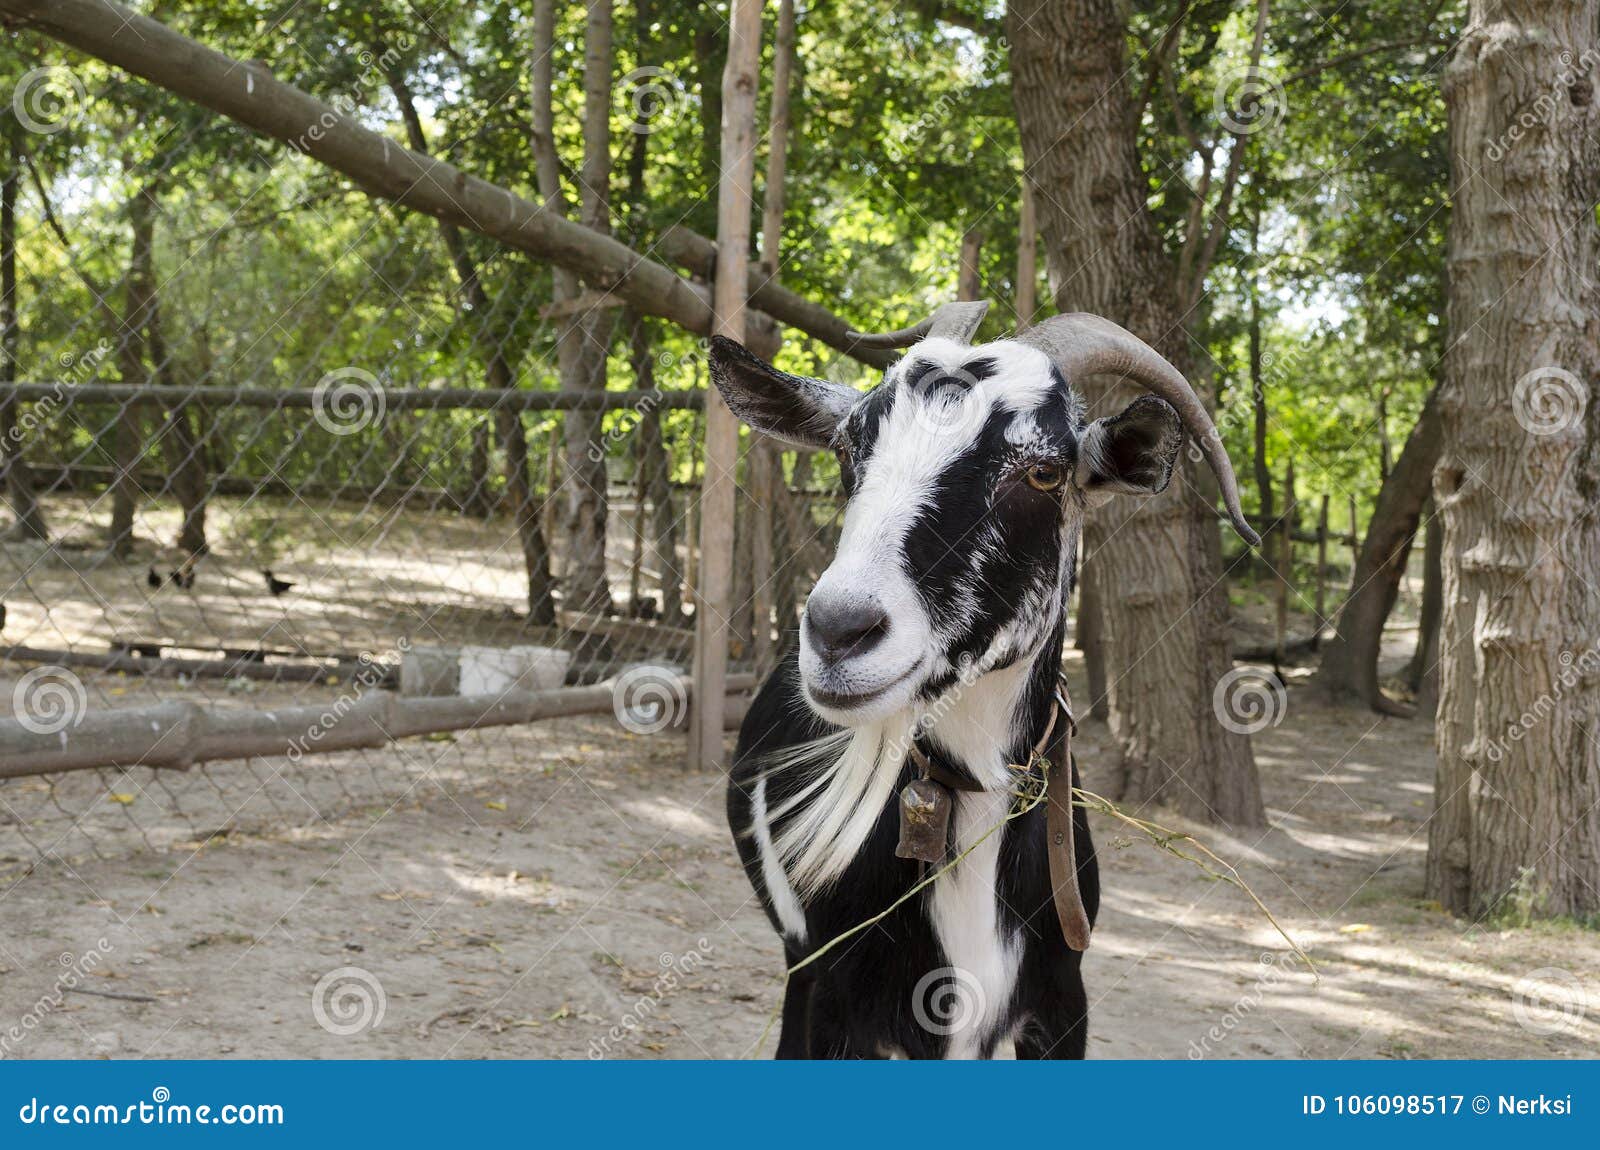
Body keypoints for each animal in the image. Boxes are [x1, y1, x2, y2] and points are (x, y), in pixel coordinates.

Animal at [712, 303, 1258, 1059]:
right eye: (849, 449)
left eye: (1046, 471)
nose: (838, 629)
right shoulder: (837, 999)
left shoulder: (1061, 1003)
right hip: (799, 962)